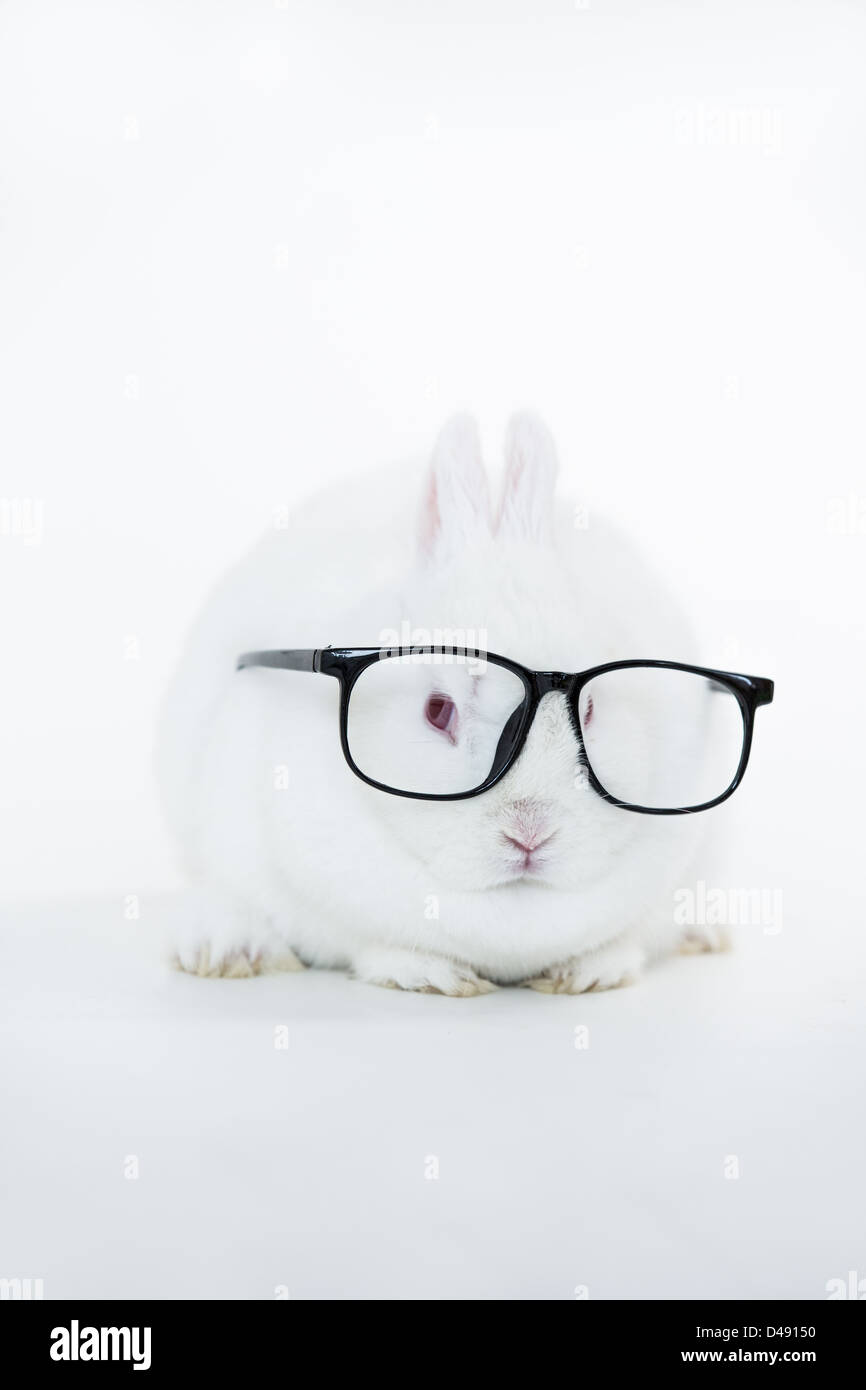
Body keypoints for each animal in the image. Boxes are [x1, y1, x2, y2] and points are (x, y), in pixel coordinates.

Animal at [156, 412, 727, 994]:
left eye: (587, 713)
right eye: (437, 711)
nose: (529, 834)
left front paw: (589, 973)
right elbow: (369, 945)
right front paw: (433, 975)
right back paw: (222, 948)